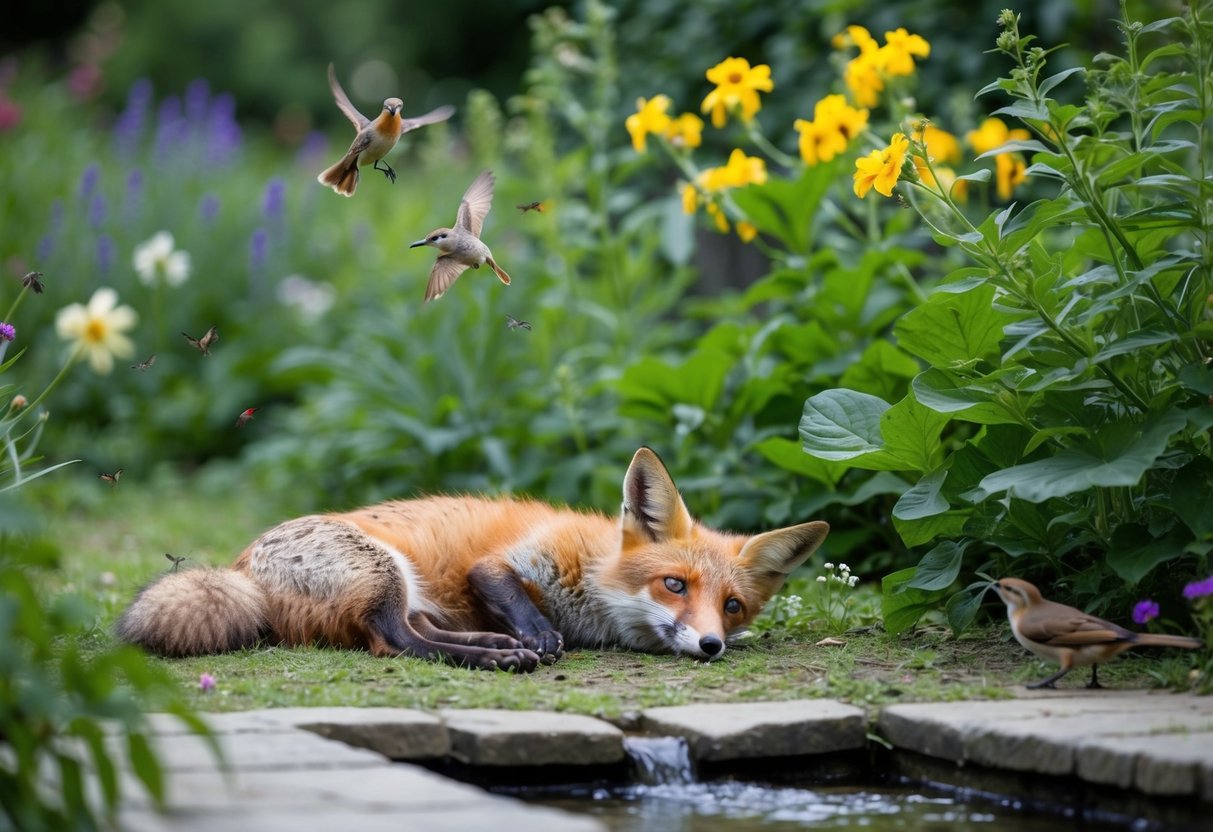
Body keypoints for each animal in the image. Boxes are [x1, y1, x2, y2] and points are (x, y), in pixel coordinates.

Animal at [117, 448, 829, 671]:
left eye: (731, 607)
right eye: (674, 584)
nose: (711, 645)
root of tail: (240, 568)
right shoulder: (504, 562)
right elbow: (506, 588)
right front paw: (539, 636)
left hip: (405, 587)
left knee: (414, 632)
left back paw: (491, 645)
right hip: (383, 572)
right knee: (397, 640)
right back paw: (503, 654)